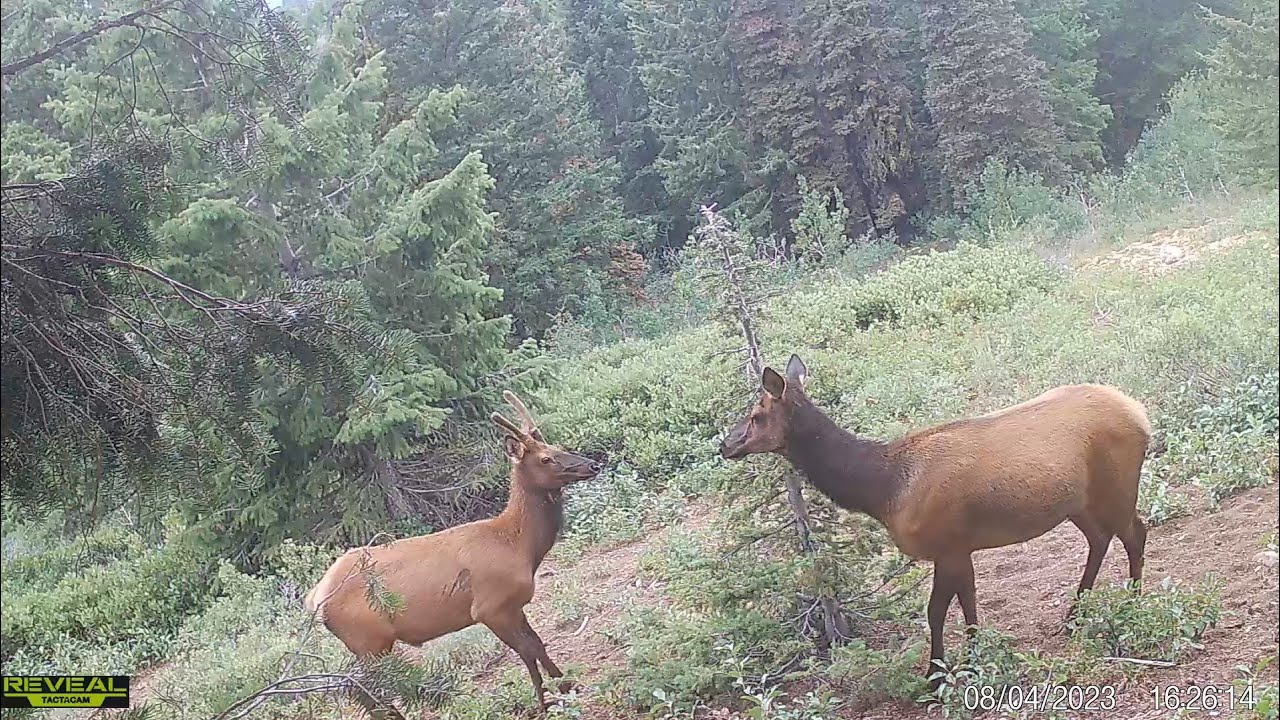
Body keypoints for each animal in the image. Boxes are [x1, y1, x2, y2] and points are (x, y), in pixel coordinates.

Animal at [305, 390, 601, 713]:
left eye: (556, 446)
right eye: (546, 458)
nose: (593, 464)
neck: (518, 546)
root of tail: (316, 599)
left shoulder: (514, 604)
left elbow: (537, 643)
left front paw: (567, 688)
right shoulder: (491, 606)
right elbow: (527, 650)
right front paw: (547, 702)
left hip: (366, 643)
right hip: (368, 639)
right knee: (366, 690)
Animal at [718, 353, 1151, 684]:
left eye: (756, 415)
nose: (725, 444)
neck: (882, 490)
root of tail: (1140, 413)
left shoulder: (949, 546)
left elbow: (939, 611)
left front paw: (941, 672)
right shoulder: (959, 549)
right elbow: (967, 604)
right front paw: (967, 660)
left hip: (1116, 487)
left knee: (1135, 532)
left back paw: (1133, 602)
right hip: (1078, 502)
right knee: (1100, 538)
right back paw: (1075, 615)